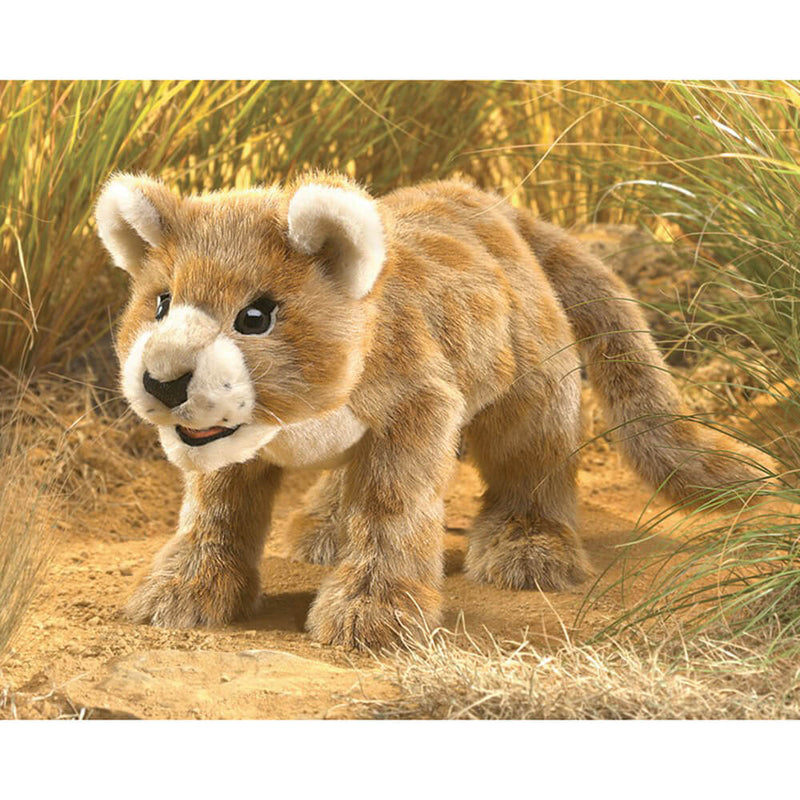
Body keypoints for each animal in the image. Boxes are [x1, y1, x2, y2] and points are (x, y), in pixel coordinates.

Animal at [95, 171, 761, 649]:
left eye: (254, 317)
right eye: (161, 303)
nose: (163, 381)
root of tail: (484, 197)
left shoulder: (416, 408)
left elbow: (392, 508)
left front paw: (373, 615)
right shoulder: (229, 443)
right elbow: (217, 515)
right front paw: (183, 592)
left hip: (533, 391)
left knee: (532, 465)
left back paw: (529, 551)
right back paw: (323, 531)